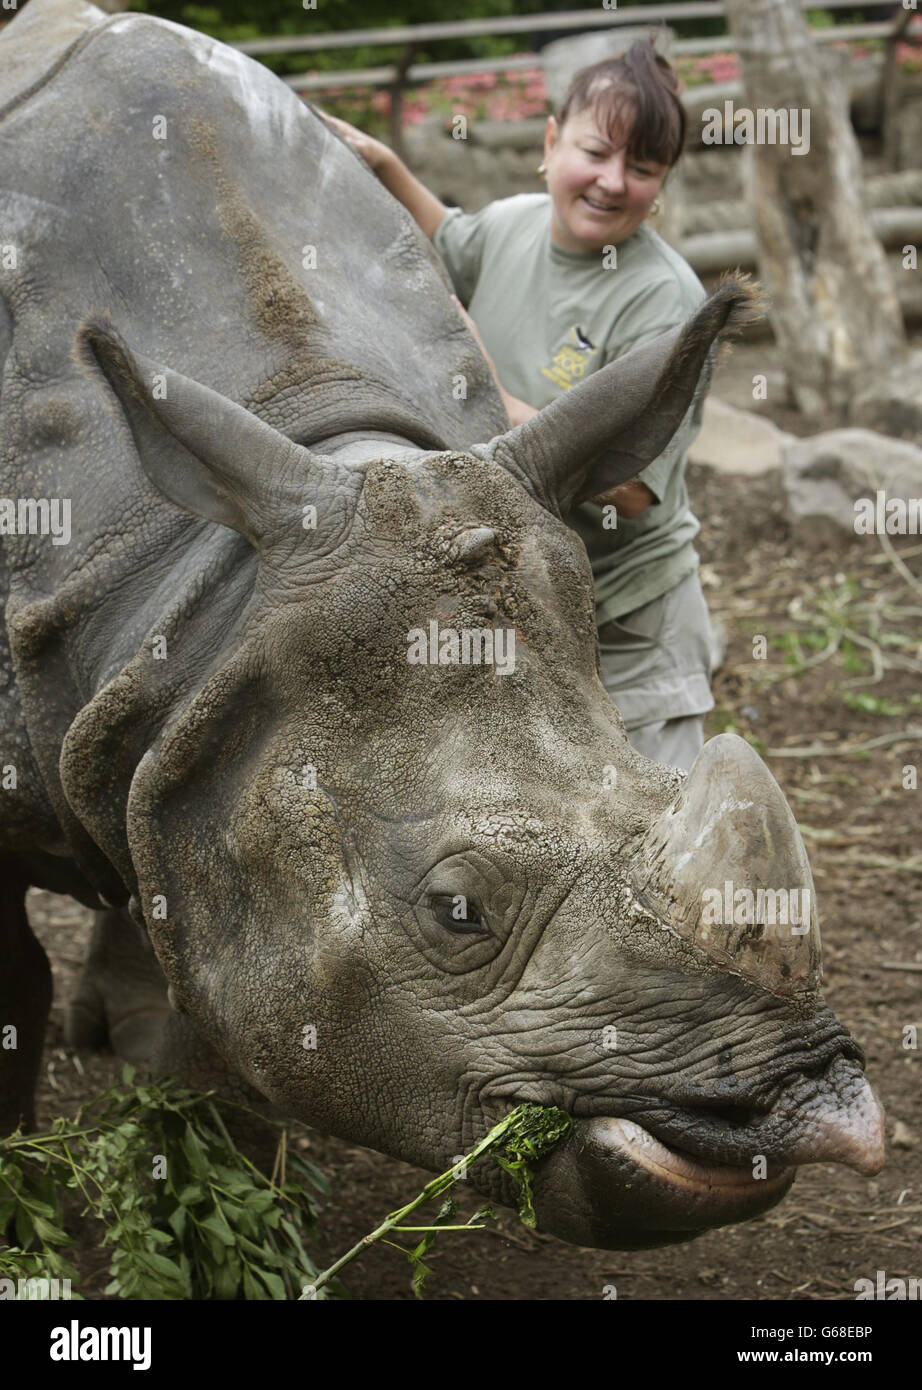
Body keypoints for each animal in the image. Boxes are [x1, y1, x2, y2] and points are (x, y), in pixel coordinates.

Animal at [0, 0, 883, 1255]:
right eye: (456, 912)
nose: (799, 1101)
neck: (214, 582)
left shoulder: (214, 691)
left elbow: (205, 1009)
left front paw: (219, 1214)